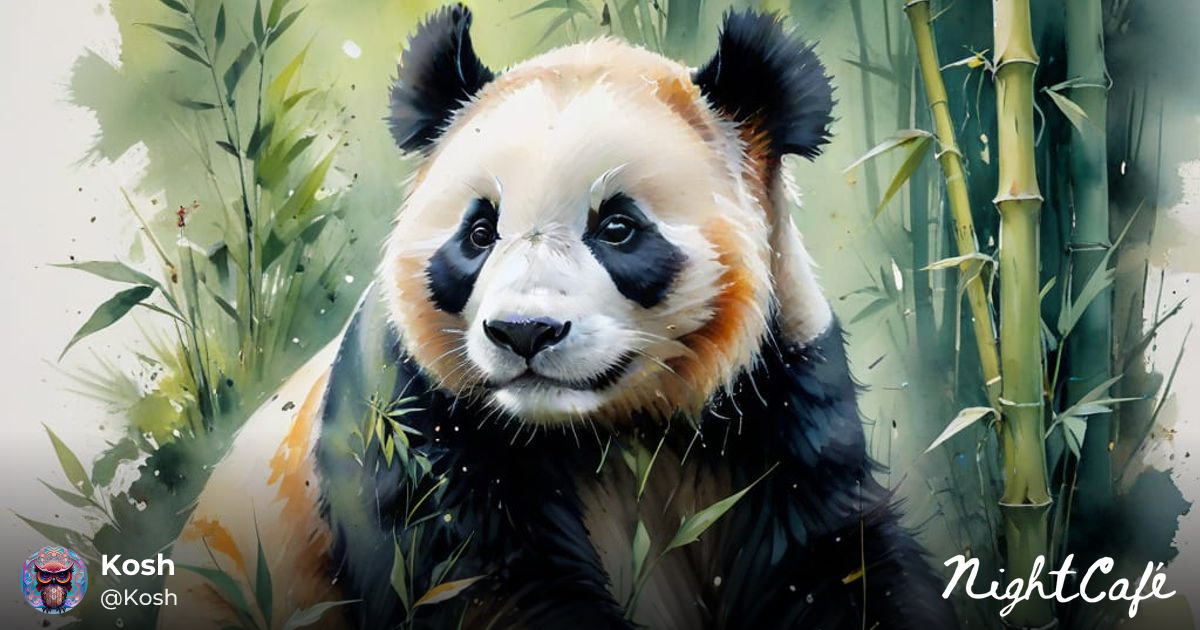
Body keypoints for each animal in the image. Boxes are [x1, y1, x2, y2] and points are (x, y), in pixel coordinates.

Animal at [162, 5, 956, 630]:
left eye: (618, 228)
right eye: (480, 232)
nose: (525, 333)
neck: (606, 428)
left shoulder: (778, 399)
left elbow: (833, 565)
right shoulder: (410, 415)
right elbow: (480, 583)